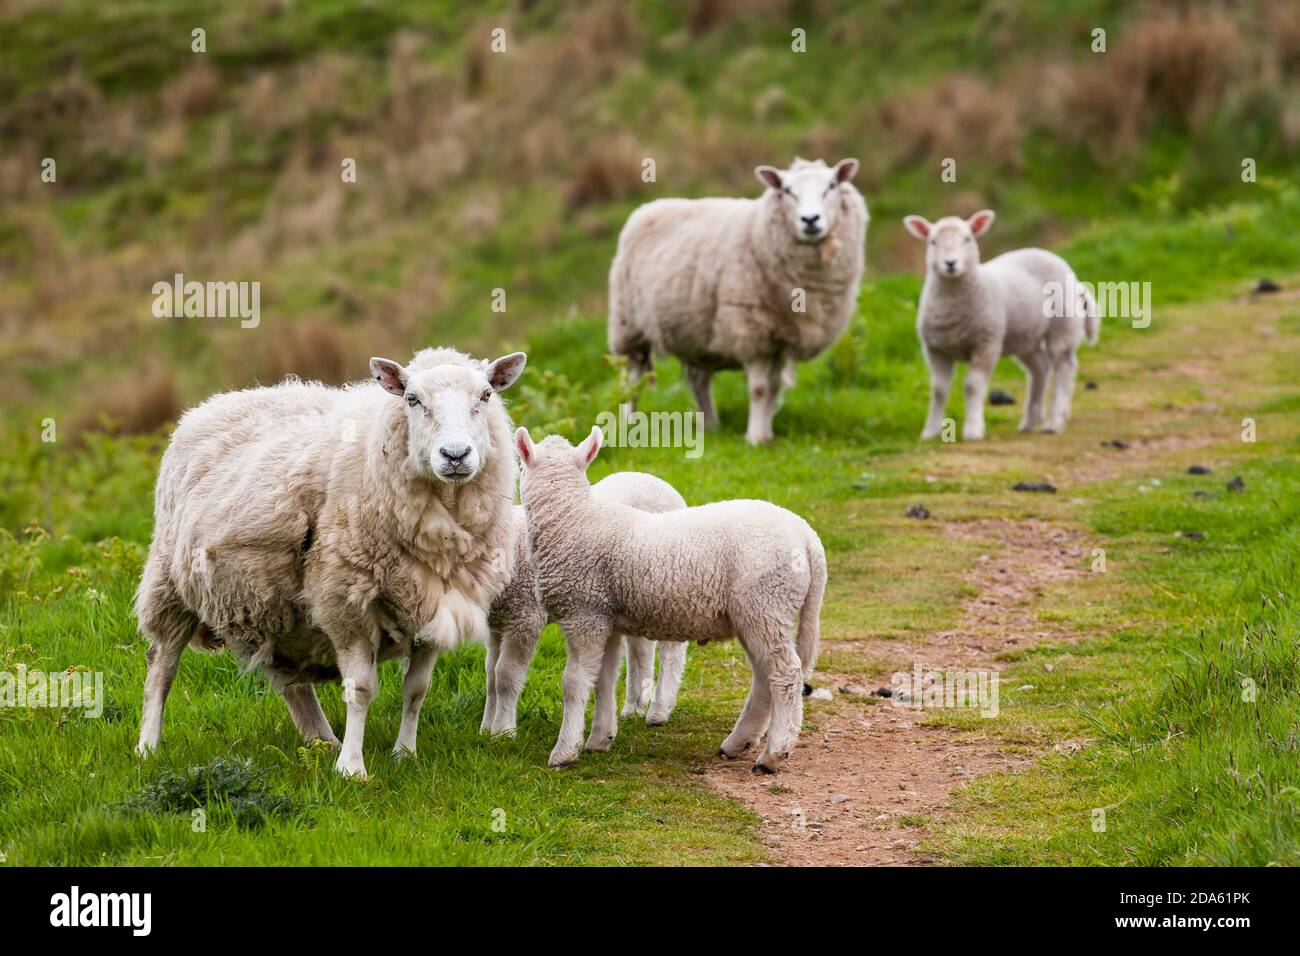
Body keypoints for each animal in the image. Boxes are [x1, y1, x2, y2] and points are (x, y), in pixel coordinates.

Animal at [134, 347, 527, 779]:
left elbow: (416, 689)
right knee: (161, 668)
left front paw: (404, 753)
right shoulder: (347, 603)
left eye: (486, 396)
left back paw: (321, 741)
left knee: (291, 681)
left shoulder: (433, 606)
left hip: (272, 602)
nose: (455, 456)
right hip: (170, 584)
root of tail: (211, 404)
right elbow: (361, 689)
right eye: (412, 400)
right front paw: (352, 768)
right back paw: (148, 746)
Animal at [481, 471, 689, 741]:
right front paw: (486, 728)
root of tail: (658, 481)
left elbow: (505, 675)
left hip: (668, 585)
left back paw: (660, 709)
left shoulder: (525, 617)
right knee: (641, 650)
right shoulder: (496, 624)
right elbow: (490, 674)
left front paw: (503, 732)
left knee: (672, 650)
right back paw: (634, 707)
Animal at [514, 424, 826, 773]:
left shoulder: (583, 613)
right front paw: (600, 738)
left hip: (766, 602)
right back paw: (737, 743)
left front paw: (565, 751)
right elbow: (604, 679)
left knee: (785, 675)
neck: (570, 519)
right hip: (755, 612)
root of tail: (807, 536)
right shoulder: (604, 615)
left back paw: (774, 754)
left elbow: (574, 682)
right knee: (763, 677)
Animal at [609, 157, 868, 445]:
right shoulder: (750, 330)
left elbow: (774, 386)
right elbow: (759, 388)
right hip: (629, 325)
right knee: (633, 380)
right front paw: (754, 437)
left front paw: (766, 434)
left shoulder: (781, 338)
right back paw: (629, 424)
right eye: (787, 190)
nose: (810, 220)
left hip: (696, 333)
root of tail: (649, 206)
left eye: (831, 186)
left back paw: (710, 426)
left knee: (698, 380)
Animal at [903, 210, 1099, 441]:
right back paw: (1030, 421)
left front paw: (973, 429)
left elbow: (973, 386)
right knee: (1040, 368)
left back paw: (1054, 422)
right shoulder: (935, 349)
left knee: (1064, 369)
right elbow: (939, 390)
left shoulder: (987, 343)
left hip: (1062, 327)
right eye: (932, 241)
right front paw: (930, 431)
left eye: (967, 239)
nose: (950, 263)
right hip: (1025, 337)